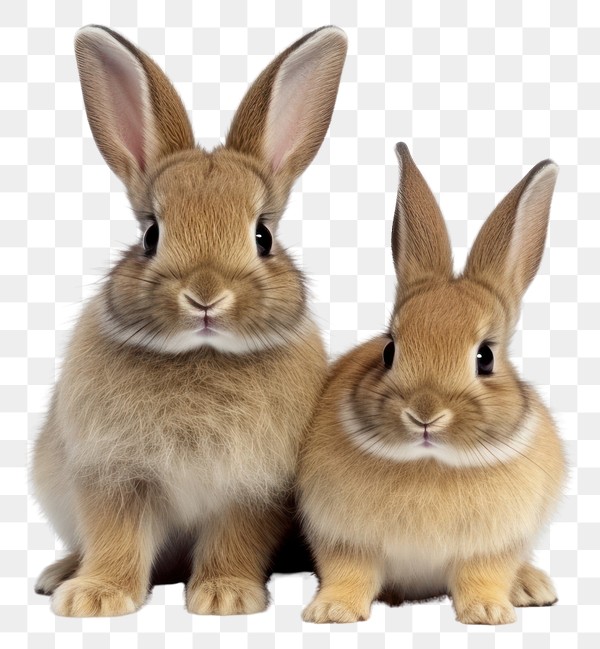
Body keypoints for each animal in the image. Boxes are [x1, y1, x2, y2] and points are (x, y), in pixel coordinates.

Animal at [32, 24, 347, 617]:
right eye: (151, 234)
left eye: (262, 236)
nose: (205, 297)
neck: (202, 356)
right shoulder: (113, 474)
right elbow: (115, 538)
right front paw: (96, 598)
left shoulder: (250, 488)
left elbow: (233, 540)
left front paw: (225, 597)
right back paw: (59, 574)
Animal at [298, 143, 566, 626]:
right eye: (389, 350)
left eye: (485, 358)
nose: (424, 414)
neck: (431, 463)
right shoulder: (344, 539)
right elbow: (349, 573)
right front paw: (332, 611)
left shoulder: (491, 547)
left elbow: (483, 575)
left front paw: (487, 613)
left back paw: (530, 586)